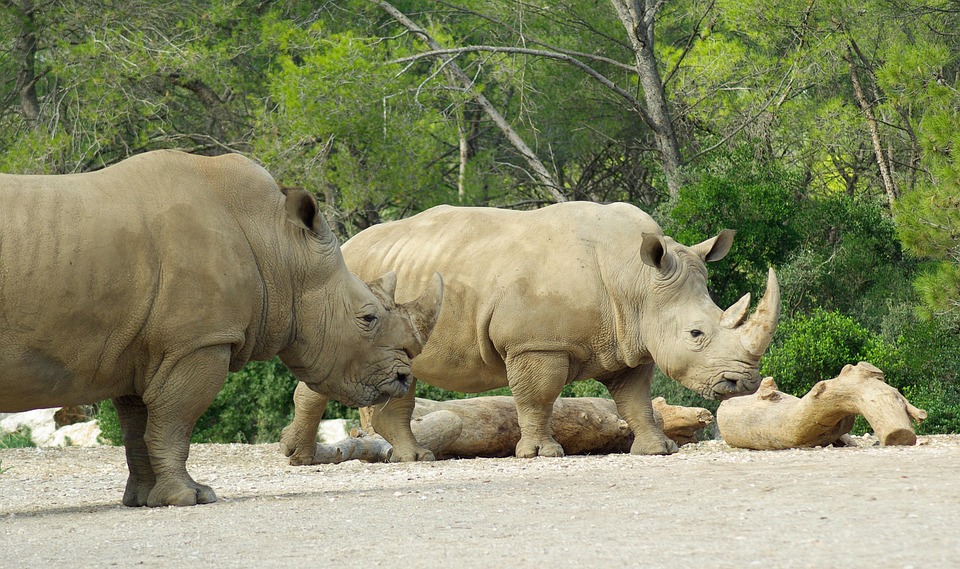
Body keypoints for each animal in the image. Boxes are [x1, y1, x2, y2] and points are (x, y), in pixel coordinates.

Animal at [0, 150, 442, 506]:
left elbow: (139, 429)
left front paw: (144, 500)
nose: (403, 378)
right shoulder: (197, 342)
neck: (278, 247)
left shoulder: (139, 347)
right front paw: (191, 497)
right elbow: (173, 422)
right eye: (368, 318)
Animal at [281, 202, 779, 463]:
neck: (637, 281)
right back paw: (302, 457)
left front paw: (657, 450)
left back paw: (412, 458)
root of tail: (348, 244)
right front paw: (542, 453)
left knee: (402, 374)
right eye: (696, 334)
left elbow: (635, 401)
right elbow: (538, 396)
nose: (743, 383)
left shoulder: (629, 342)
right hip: (345, 294)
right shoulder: (535, 343)